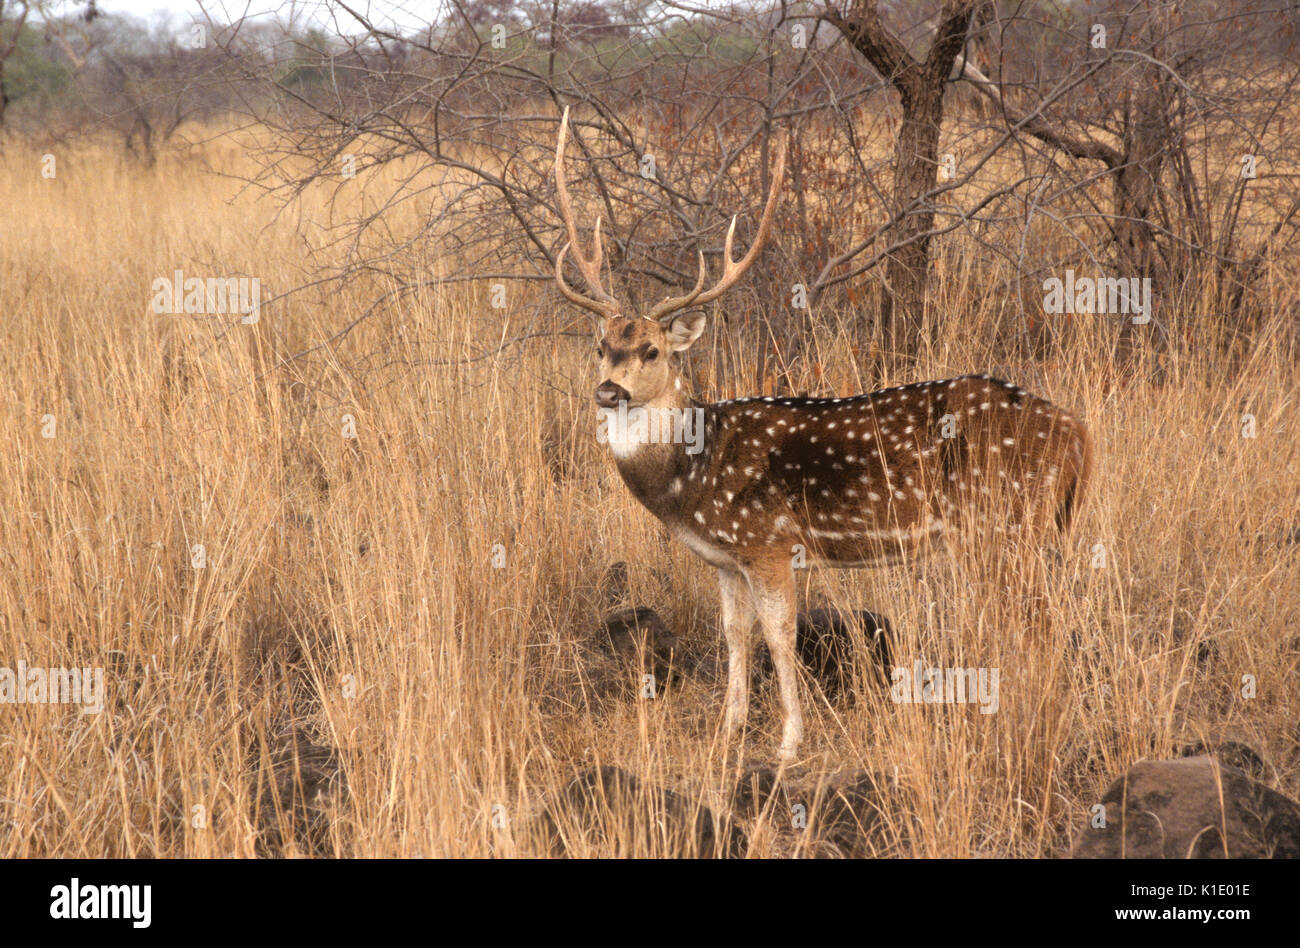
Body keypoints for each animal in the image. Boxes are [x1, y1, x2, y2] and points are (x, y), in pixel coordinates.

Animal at [551, 108, 1093, 762]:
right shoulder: (725, 559)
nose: (609, 392)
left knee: (1041, 618)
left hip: (1007, 523)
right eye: (602, 347)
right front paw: (728, 730)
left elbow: (780, 636)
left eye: (652, 350)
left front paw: (789, 742)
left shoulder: (769, 540)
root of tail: (1079, 433)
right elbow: (735, 635)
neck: (693, 475)